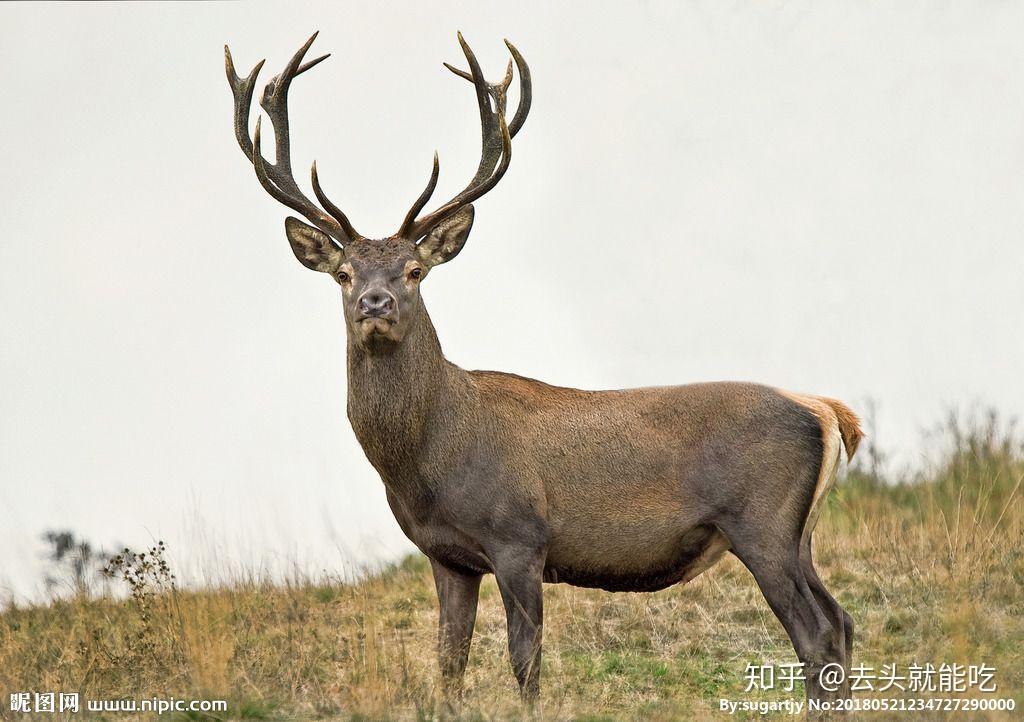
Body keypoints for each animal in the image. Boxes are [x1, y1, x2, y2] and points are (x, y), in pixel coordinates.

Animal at [224, 32, 863, 708]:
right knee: (842, 621)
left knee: (818, 632)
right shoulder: (447, 557)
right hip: (800, 534)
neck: (428, 462)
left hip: (763, 524)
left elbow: (524, 659)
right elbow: (449, 661)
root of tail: (828, 413)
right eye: (344, 274)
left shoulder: (519, 538)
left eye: (414, 271)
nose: (376, 303)